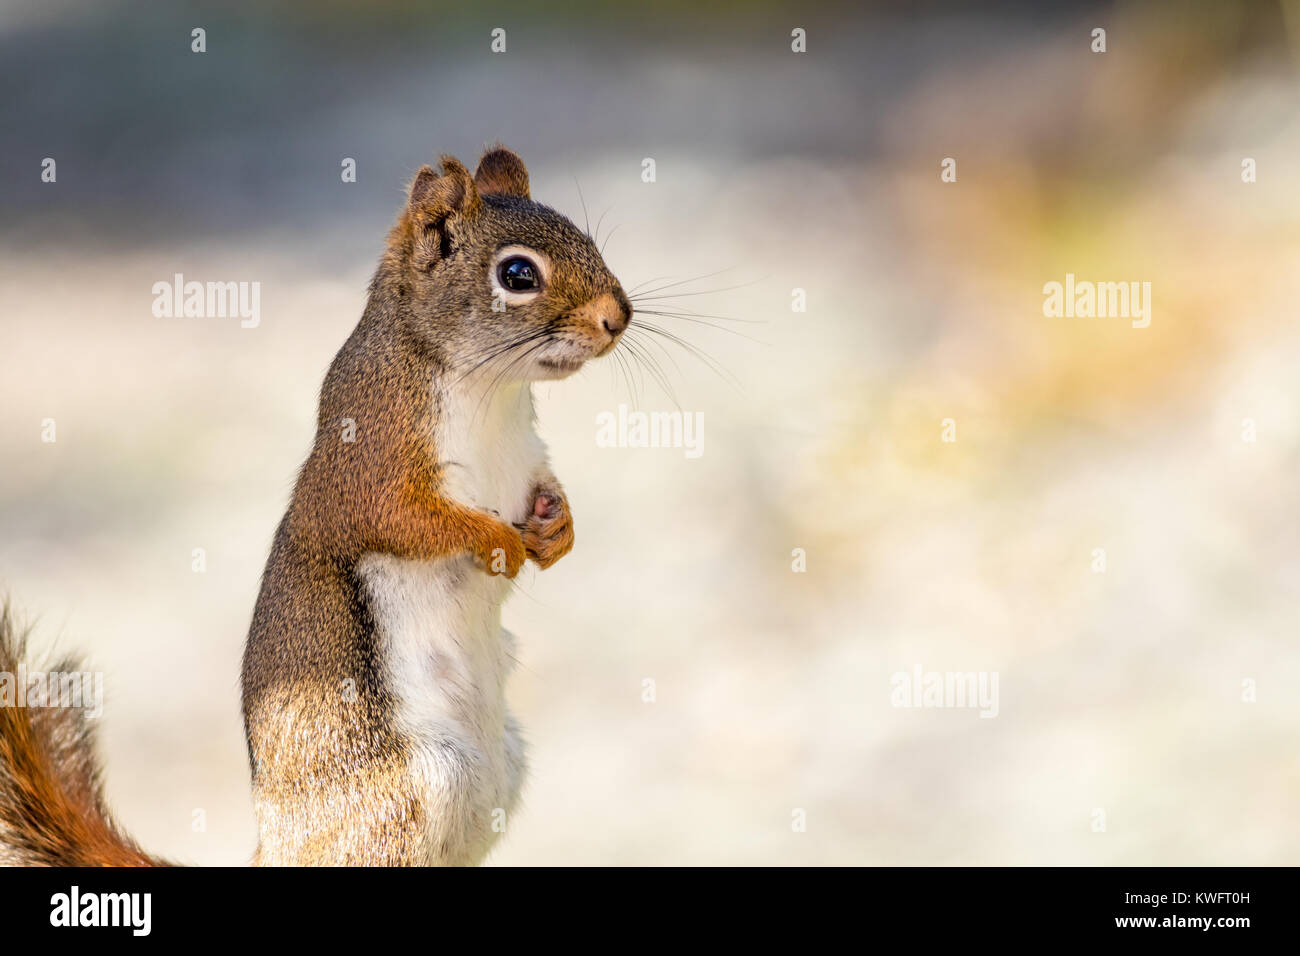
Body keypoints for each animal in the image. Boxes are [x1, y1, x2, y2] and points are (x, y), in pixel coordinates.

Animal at [0, 146, 632, 866]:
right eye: (518, 273)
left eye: (584, 236)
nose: (619, 316)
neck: (492, 394)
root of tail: (276, 852)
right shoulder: (366, 463)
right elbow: (405, 521)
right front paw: (497, 541)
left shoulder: (527, 460)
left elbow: (546, 495)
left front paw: (558, 531)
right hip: (397, 807)